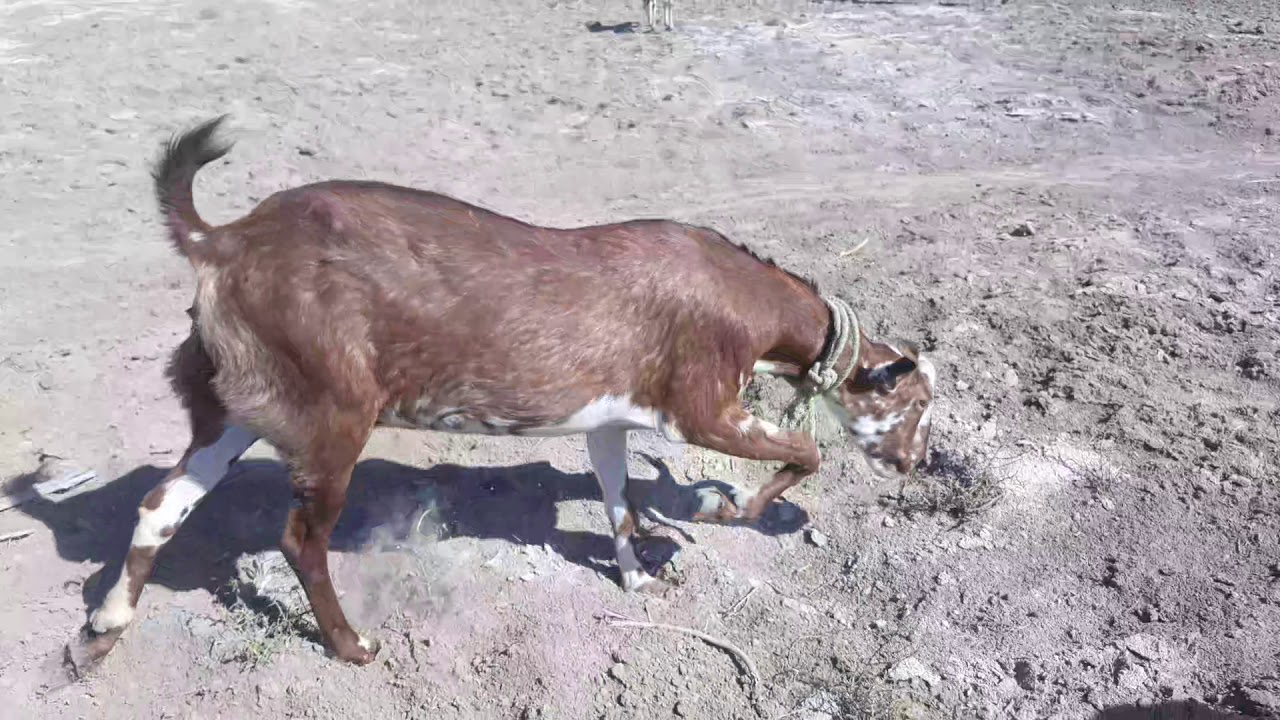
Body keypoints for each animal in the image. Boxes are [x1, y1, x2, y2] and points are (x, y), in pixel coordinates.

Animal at [71, 116, 935, 670]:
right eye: (918, 405)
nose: (914, 464)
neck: (744, 297)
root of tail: (223, 240)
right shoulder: (701, 407)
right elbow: (805, 450)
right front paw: (731, 510)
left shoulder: (607, 420)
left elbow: (618, 499)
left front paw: (637, 576)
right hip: (331, 414)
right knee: (299, 539)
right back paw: (352, 646)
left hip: (231, 406)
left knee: (161, 507)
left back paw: (103, 629)